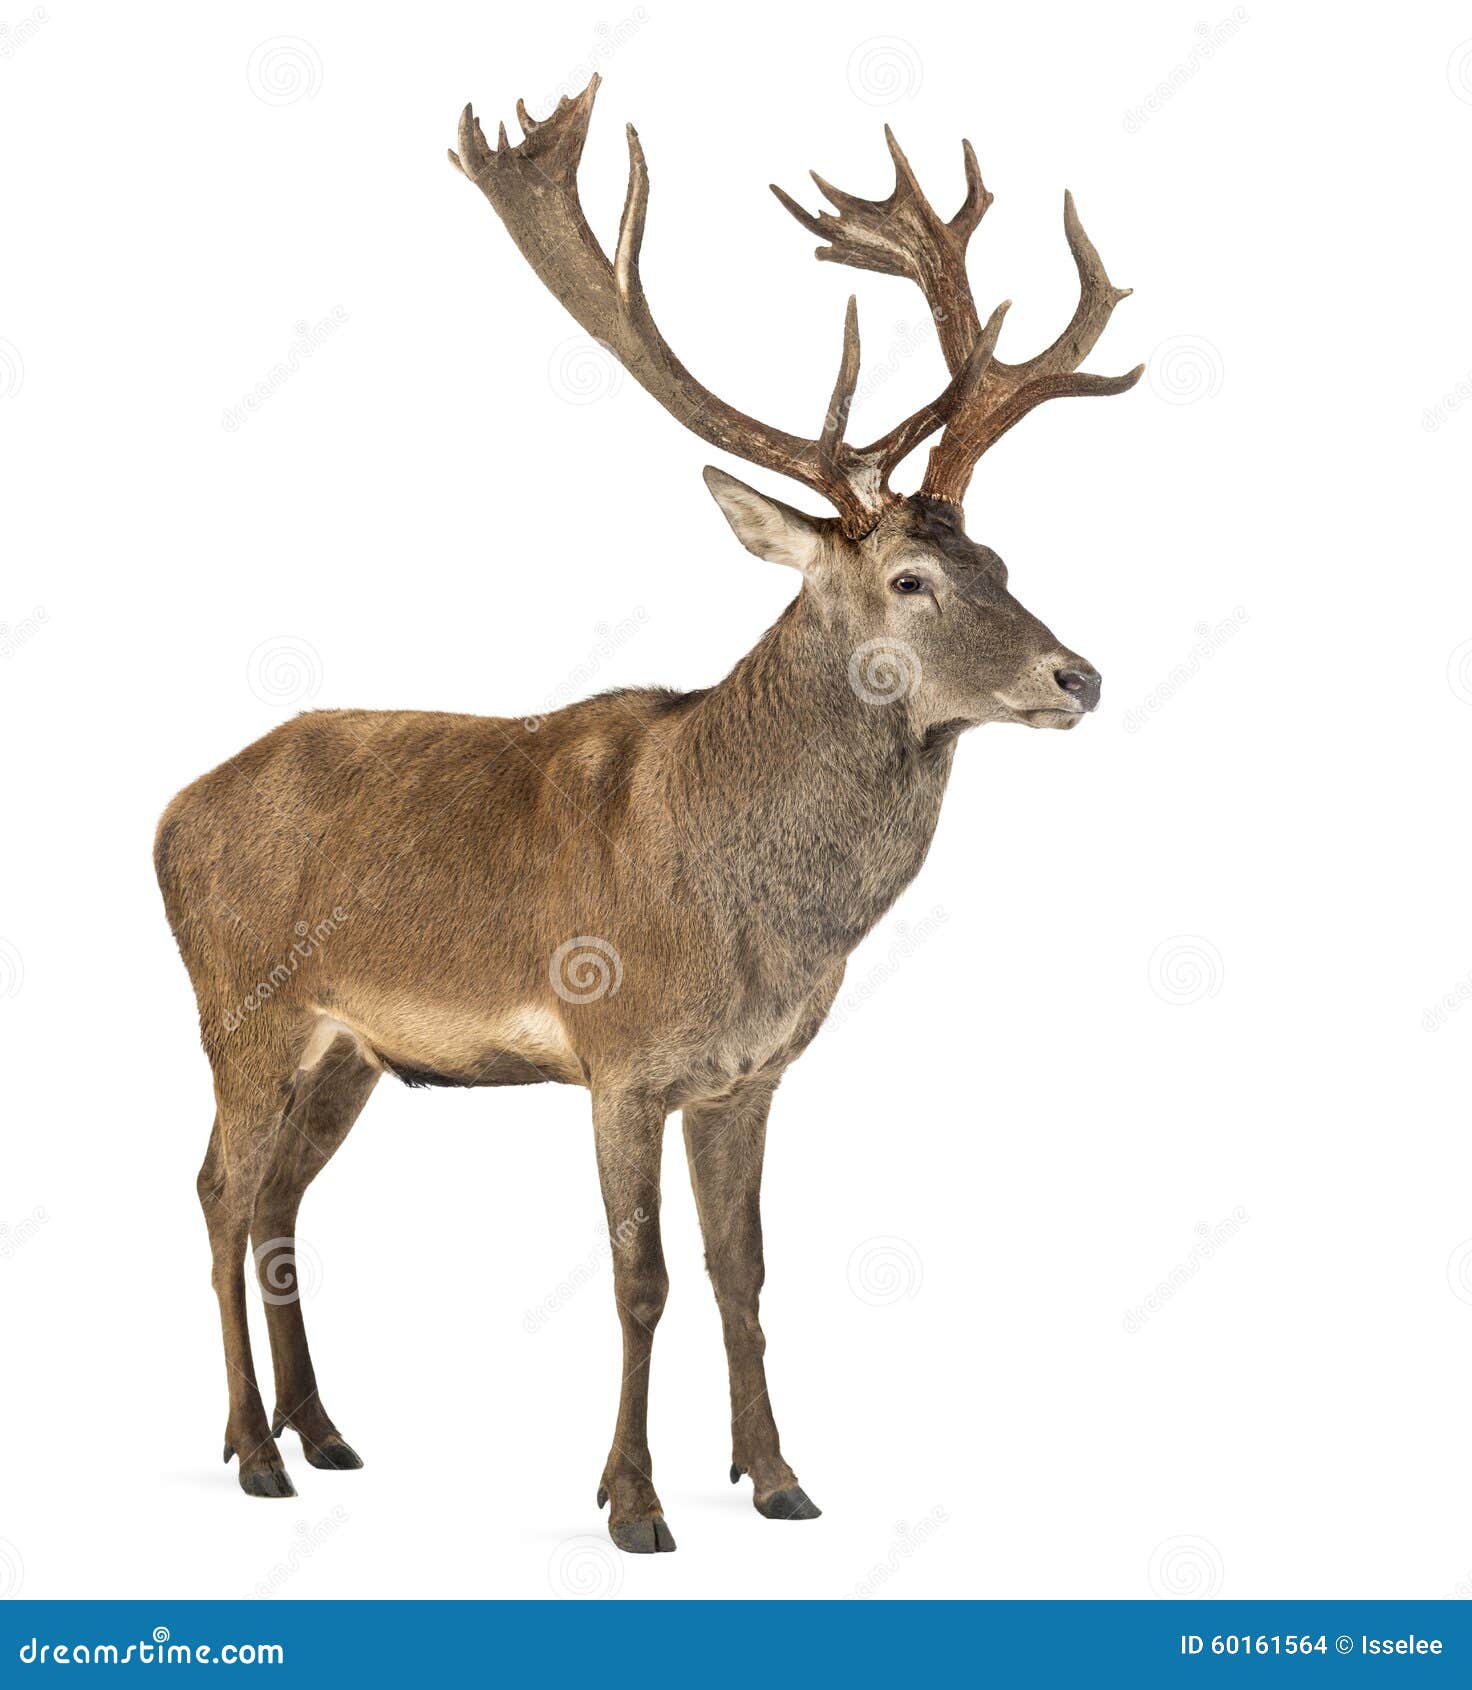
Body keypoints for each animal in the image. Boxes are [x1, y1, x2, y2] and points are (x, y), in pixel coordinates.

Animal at [153, 74, 1139, 1554]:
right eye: (910, 579)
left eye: (1001, 558)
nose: (1076, 675)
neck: (748, 915)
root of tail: (164, 813)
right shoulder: (615, 1052)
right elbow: (642, 1279)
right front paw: (631, 1501)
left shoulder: (751, 1073)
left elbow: (744, 1269)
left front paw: (779, 1477)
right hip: (243, 1005)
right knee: (217, 1189)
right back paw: (255, 1451)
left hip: (349, 1048)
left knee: (275, 1194)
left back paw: (322, 1432)